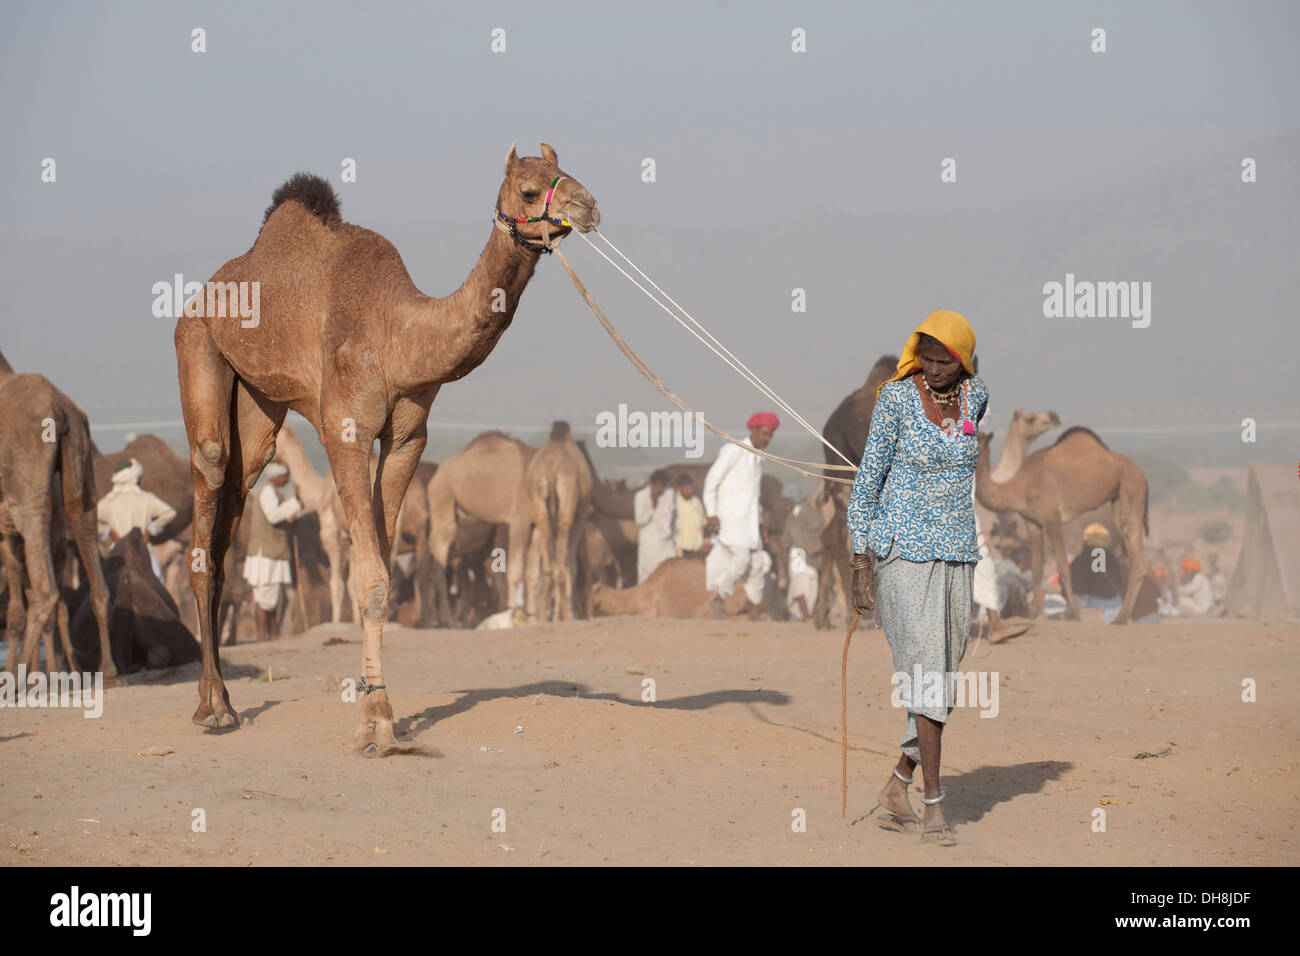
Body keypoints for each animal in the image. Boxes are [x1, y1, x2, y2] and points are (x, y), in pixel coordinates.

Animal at [0, 351, 115, 680]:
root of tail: (60, 409)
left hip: (28, 487)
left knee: (45, 591)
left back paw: (19, 679)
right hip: (79, 448)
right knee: (82, 515)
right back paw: (108, 671)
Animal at [522, 421, 593, 622]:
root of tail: (552, 472)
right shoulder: (580, 517)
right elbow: (571, 566)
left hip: (541, 511)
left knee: (548, 569)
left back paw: (542, 618)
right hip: (566, 515)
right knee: (561, 567)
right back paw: (567, 616)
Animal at [975, 426, 1149, 622]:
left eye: (979, 439)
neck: (1019, 486)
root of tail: (1142, 476)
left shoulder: (1052, 517)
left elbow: (1063, 566)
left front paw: (1073, 614)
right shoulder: (1032, 521)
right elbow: (1036, 568)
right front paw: (1032, 614)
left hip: (1132, 492)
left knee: (1138, 560)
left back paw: (1120, 619)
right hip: (1117, 501)